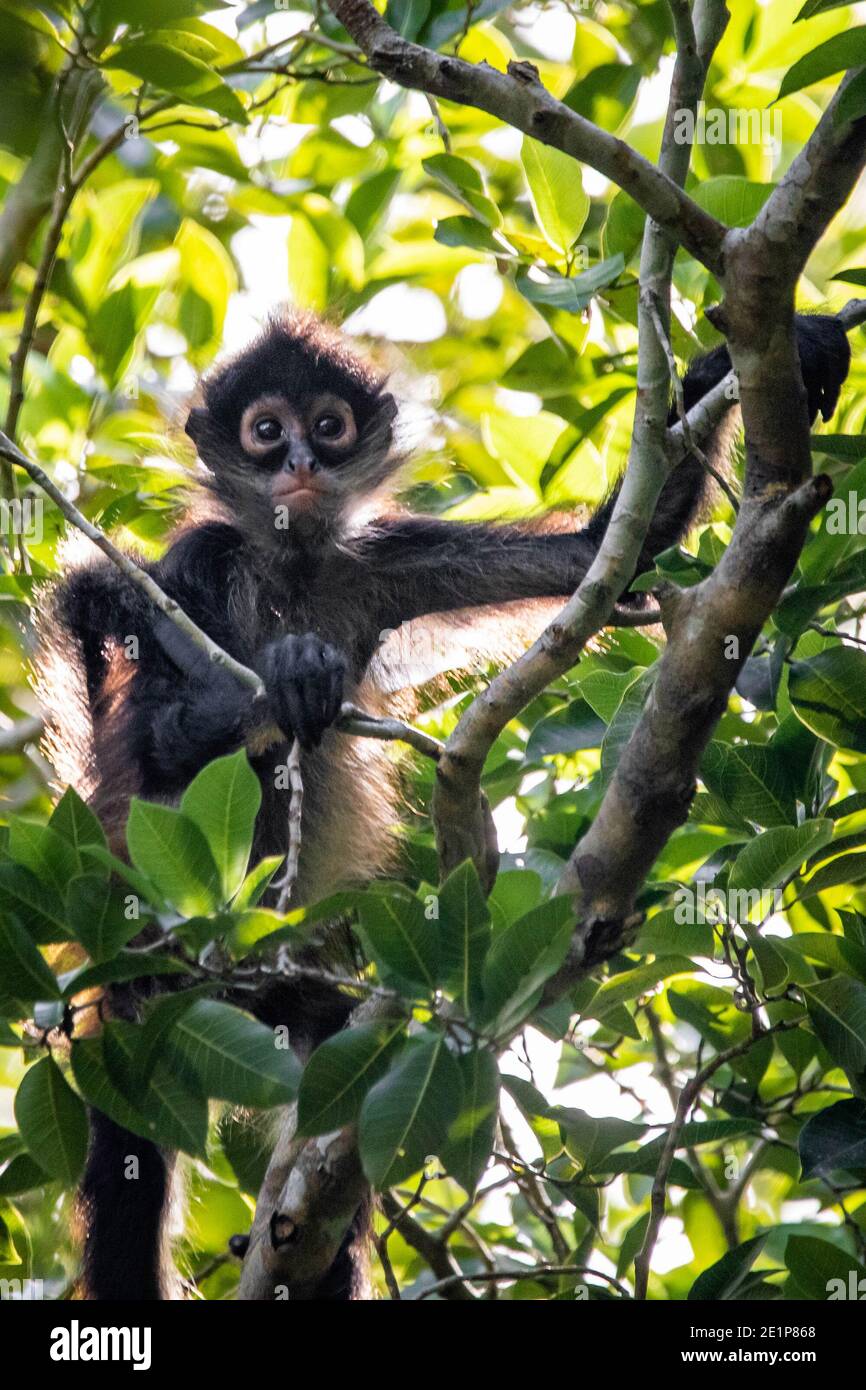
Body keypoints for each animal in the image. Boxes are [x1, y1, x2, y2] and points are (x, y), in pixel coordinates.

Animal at [35, 308, 851, 1301]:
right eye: (265, 431)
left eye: (328, 425)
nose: (299, 462)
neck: (293, 565)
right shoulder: (198, 565)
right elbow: (155, 739)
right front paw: (282, 673)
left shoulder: (383, 562)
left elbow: (601, 557)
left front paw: (784, 346)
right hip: (140, 1005)